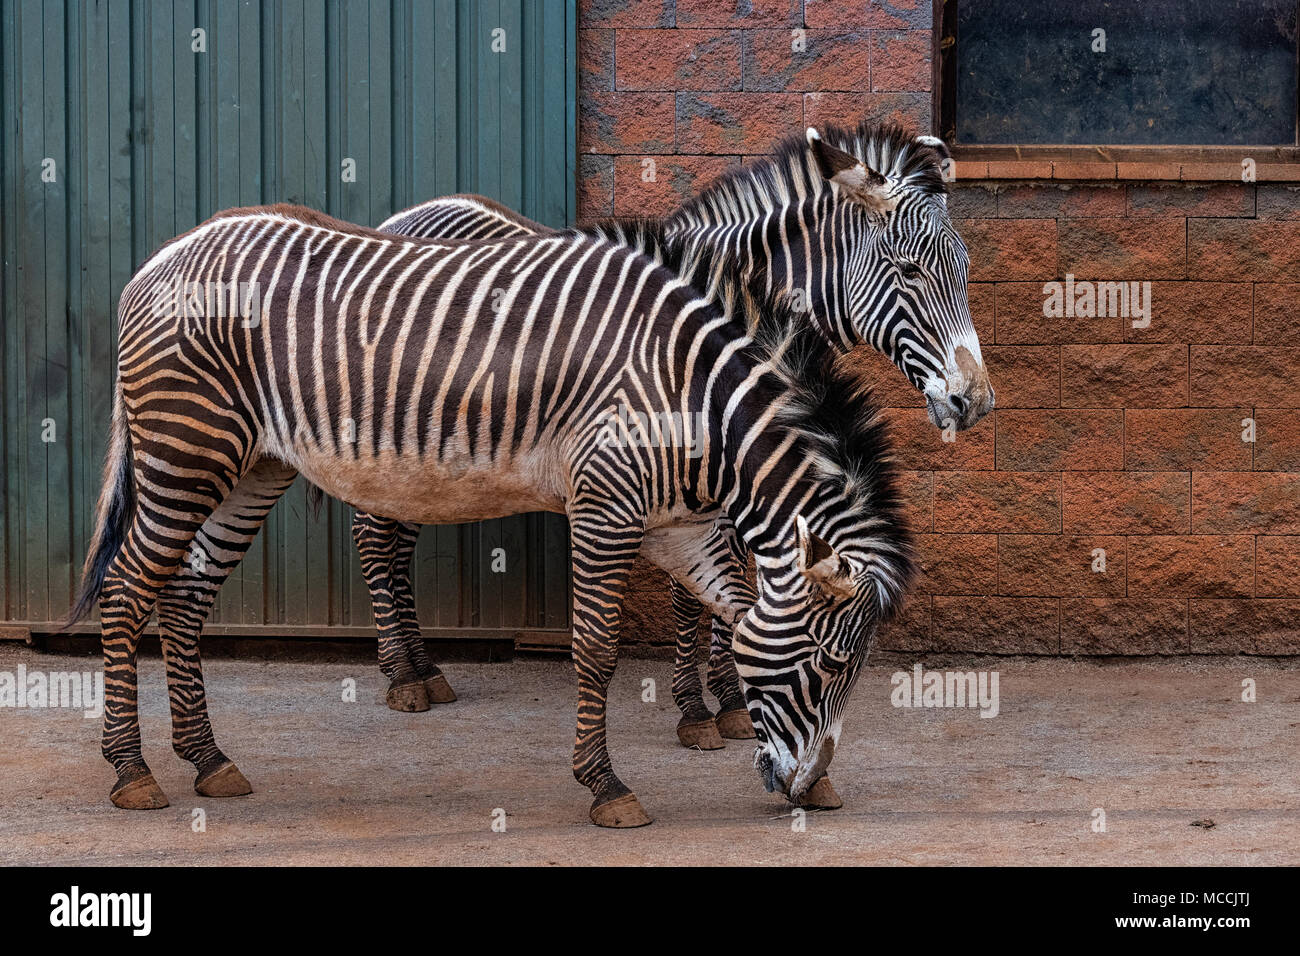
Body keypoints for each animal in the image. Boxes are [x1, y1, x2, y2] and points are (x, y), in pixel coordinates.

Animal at [68, 197, 915, 826]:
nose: (801, 788)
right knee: (127, 590)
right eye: (831, 665)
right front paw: (607, 787)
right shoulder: (605, 507)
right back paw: (132, 771)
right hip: (186, 449)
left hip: (251, 466)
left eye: (852, 672)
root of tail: (160, 258)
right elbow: (596, 650)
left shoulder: (683, 528)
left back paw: (208, 760)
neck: (691, 391)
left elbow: (736, 609)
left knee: (183, 598)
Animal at [358, 123, 992, 760]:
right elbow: (695, 594)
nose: (976, 401)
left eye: (964, 271)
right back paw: (403, 676)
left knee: (397, 541)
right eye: (909, 271)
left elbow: (735, 583)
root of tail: (403, 216)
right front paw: (697, 709)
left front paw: (732, 699)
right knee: (372, 536)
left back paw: (423, 668)